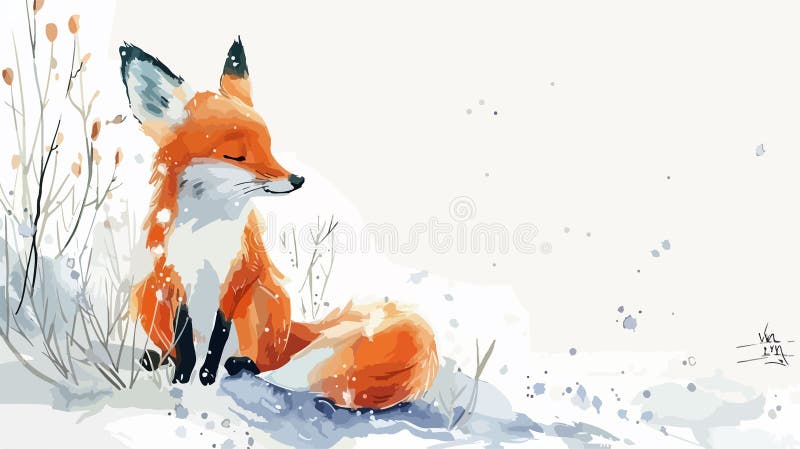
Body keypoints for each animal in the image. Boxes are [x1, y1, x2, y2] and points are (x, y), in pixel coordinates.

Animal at [119, 37, 438, 409]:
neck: (208, 232)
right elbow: (184, 338)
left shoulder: (239, 274)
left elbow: (218, 333)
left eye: (269, 146)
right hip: (146, 294)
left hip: (263, 297)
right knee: (171, 345)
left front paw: (206, 376)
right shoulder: (171, 277)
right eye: (236, 155)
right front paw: (184, 376)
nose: (297, 179)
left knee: (261, 361)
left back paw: (239, 364)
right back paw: (157, 358)